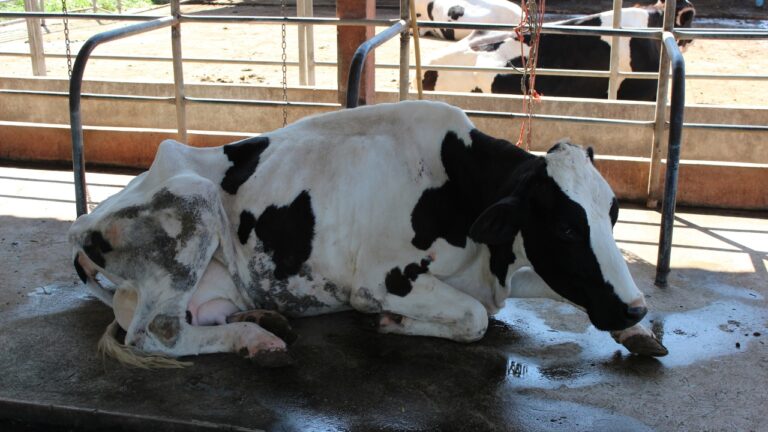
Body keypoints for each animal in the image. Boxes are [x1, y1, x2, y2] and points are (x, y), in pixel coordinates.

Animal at [69, 101, 667, 368]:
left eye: (613, 214)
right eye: (565, 226)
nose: (635, 307)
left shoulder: (500, 268)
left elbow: (544, 288)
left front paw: (637, 330)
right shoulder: (383, 278)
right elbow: (476, 319)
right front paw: (392, 323)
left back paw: (262, 318)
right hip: (191, 203)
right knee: (157, 332)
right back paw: (255, 340)